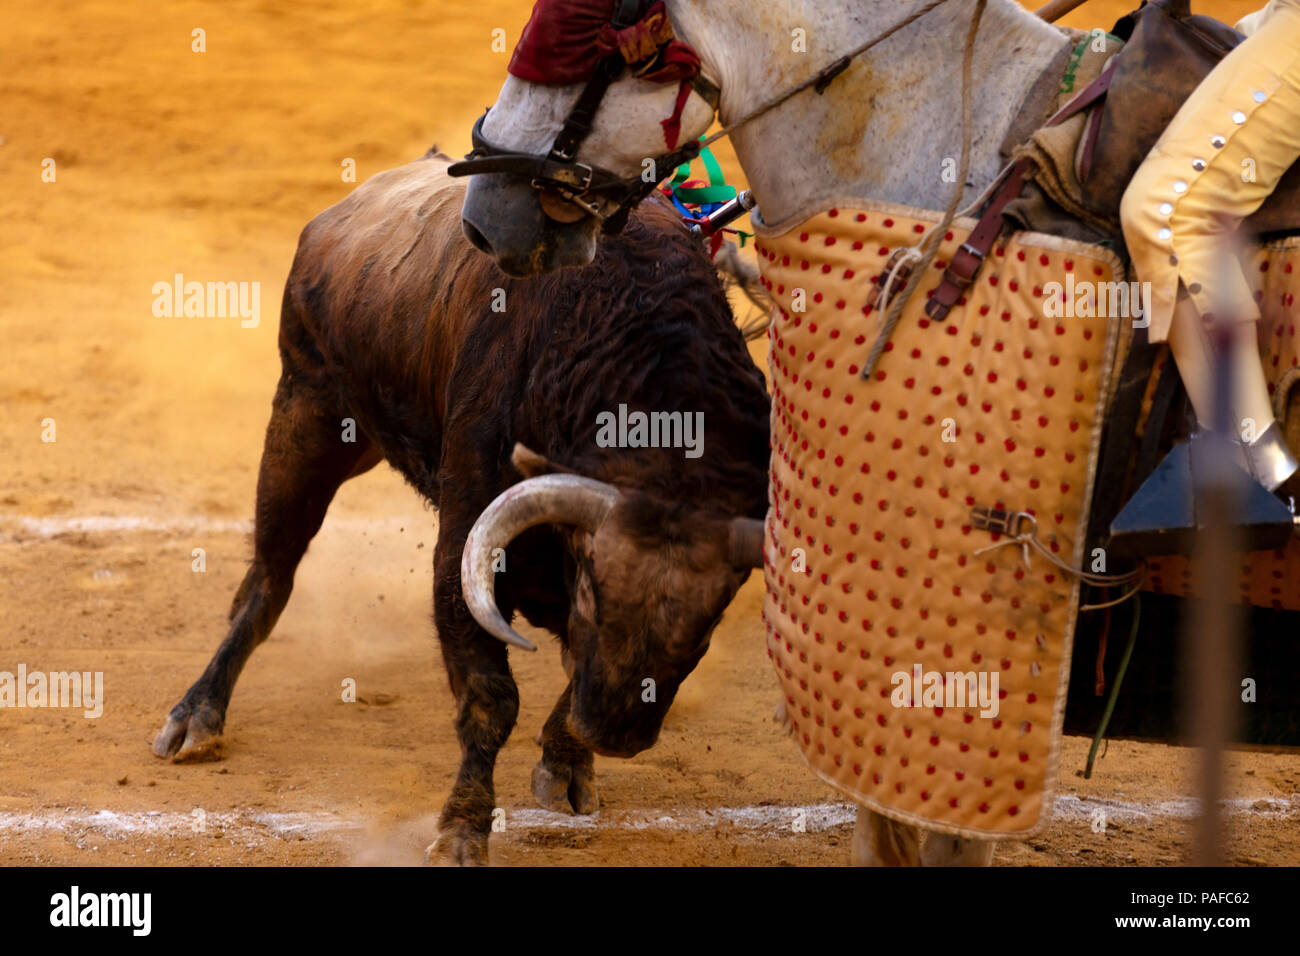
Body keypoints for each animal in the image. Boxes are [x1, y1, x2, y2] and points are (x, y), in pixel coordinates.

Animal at [150, 152, 771, 865]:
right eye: (591, 585)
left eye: (716, 612)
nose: (615, 730)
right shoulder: (467, 542)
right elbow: (490, 695)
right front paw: (461, 830)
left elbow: (569, 671)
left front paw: (565, 763)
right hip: (306, 413)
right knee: (267, 580)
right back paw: (196, 715)